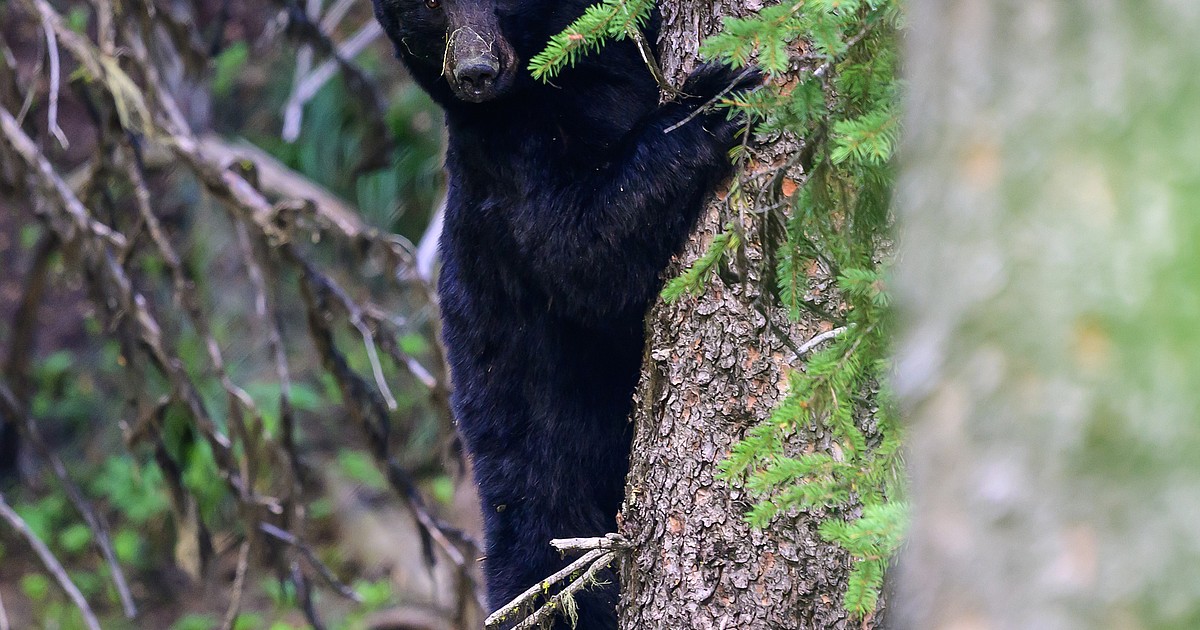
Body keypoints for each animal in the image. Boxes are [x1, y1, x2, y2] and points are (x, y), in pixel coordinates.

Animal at [370, 0, 758, 627]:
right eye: (429, 8)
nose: (475, 72)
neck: (564, 86)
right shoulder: (504, 158)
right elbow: (581, 249)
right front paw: (710, 101)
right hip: (548, 487)